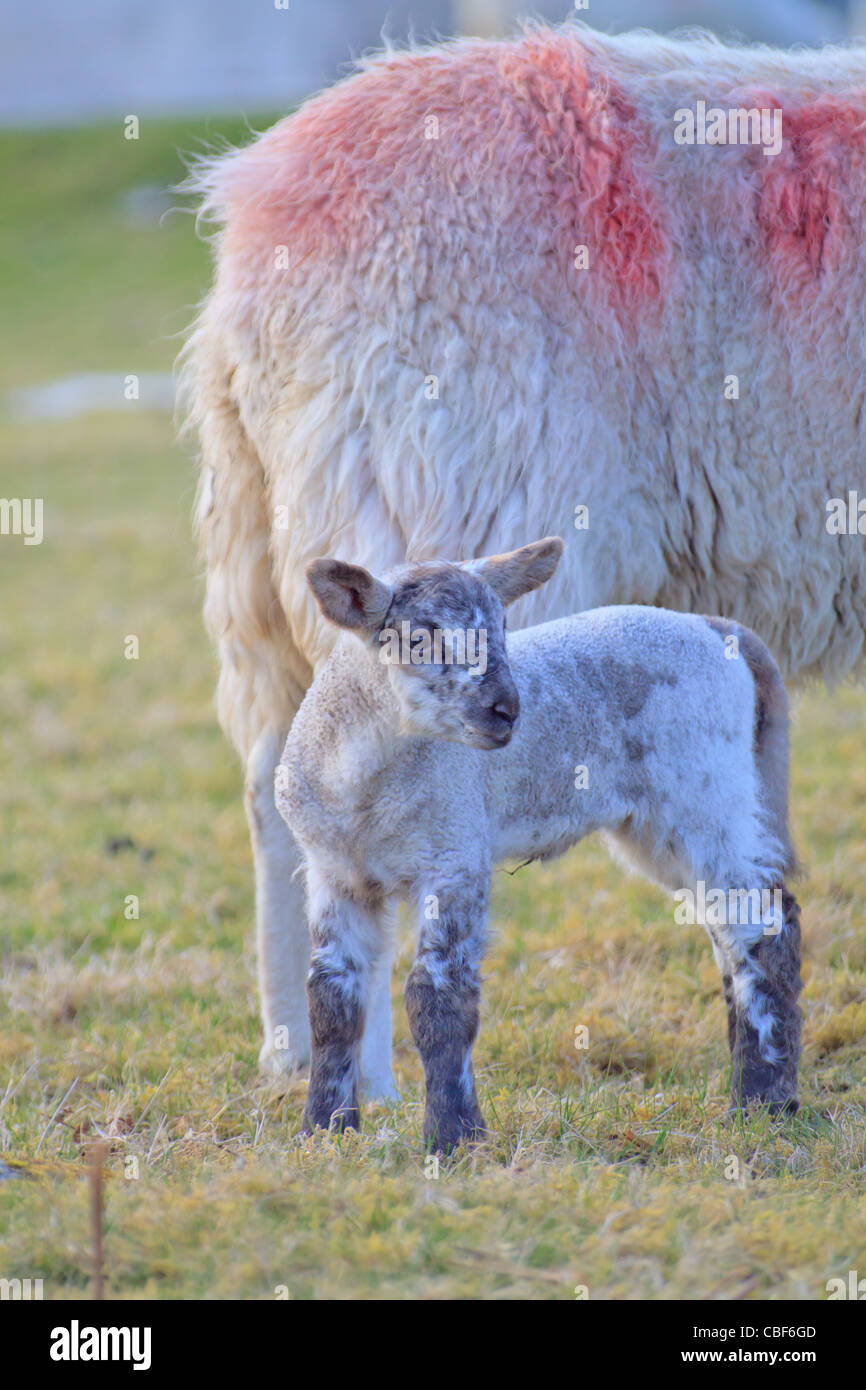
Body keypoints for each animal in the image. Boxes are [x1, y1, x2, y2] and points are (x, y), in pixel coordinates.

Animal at [275, 538, 802, 1150]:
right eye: (419, 635)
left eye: (503, 626)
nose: (506, 710)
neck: (366, 782)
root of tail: (718, 629)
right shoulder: (333, 871)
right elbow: (331, 998)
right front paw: (325, 1130)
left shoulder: (455, 853)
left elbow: (438, 997)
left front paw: (455, 1137)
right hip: (669, 823)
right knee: (731, 927)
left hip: (706, 789)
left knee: (763, 923)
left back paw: (766, 1100)